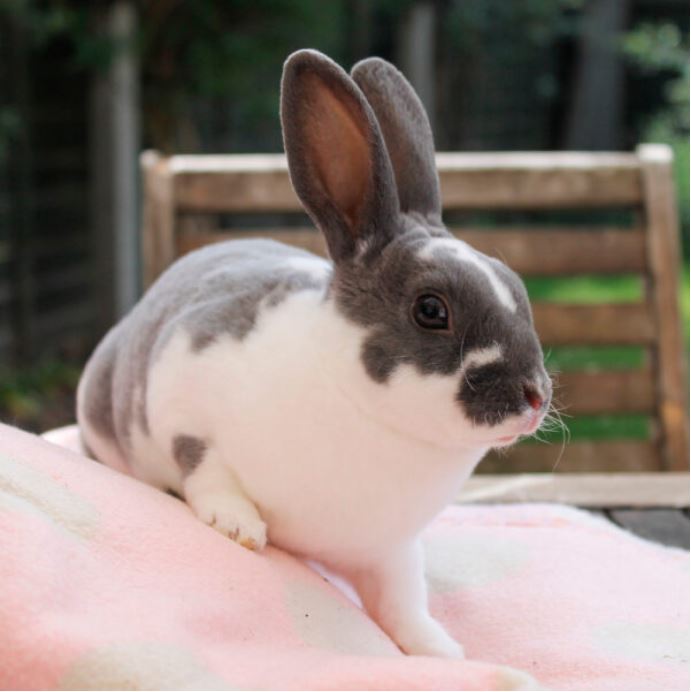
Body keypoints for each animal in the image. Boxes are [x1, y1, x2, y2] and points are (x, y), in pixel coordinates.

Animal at [77, 49, 552, 658]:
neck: (362, 410)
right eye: (431, 309)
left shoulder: (392, 551)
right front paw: (238, 527)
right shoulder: (181, 385)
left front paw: (441, 652)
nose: (535, 397)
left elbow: (403, 602)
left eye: (516, 287)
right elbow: (205, 464)